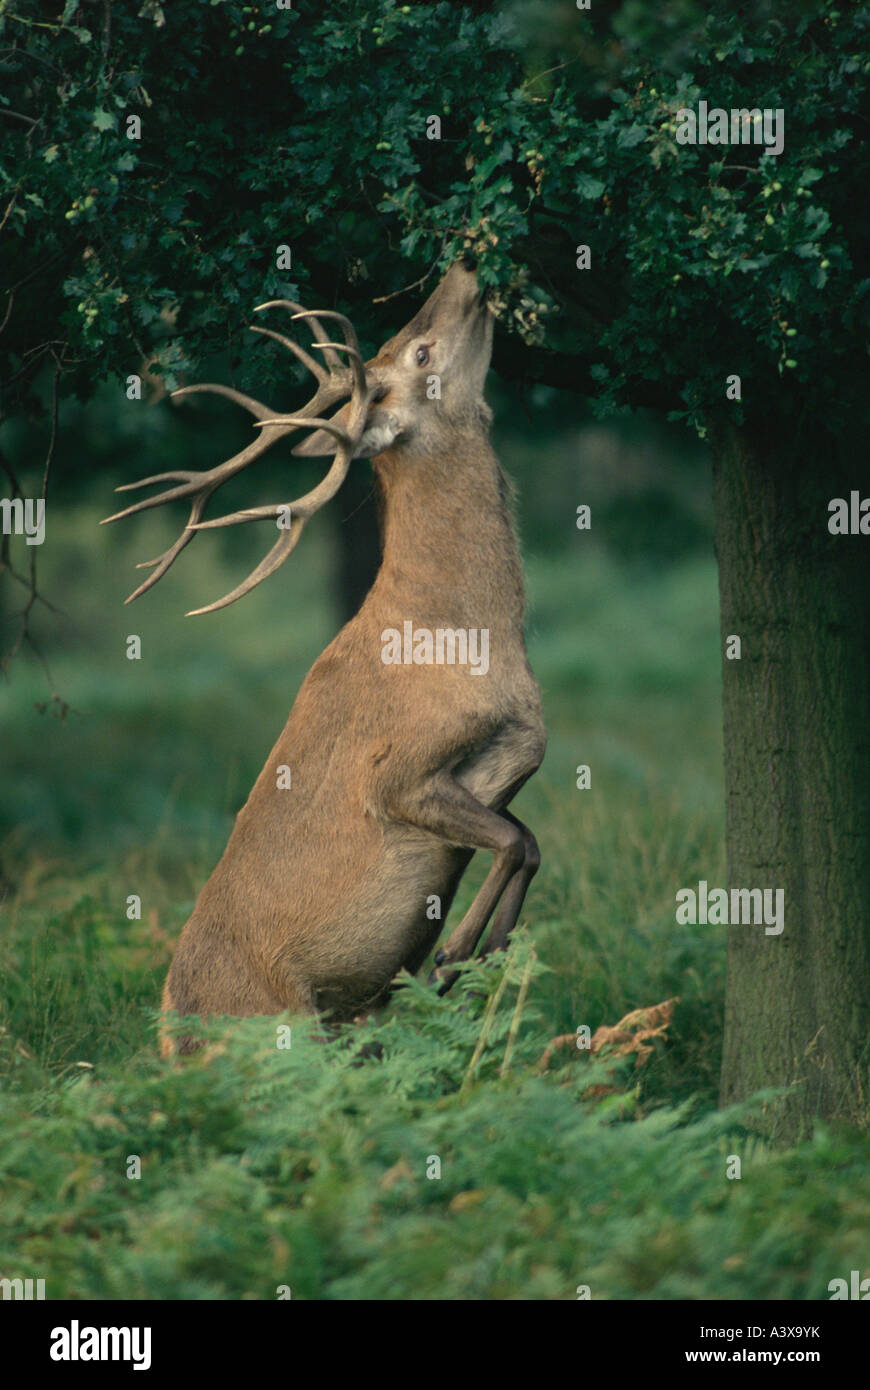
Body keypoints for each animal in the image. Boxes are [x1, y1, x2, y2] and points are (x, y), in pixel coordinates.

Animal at [103, 260, 546, 1055]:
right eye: (422, 355)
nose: (464, 267)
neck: (472, 638)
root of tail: (173, 1039)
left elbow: (527, 838)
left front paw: (486, 949)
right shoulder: (399, 774)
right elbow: (509, 840)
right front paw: (456, 955)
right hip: (279, 1019)